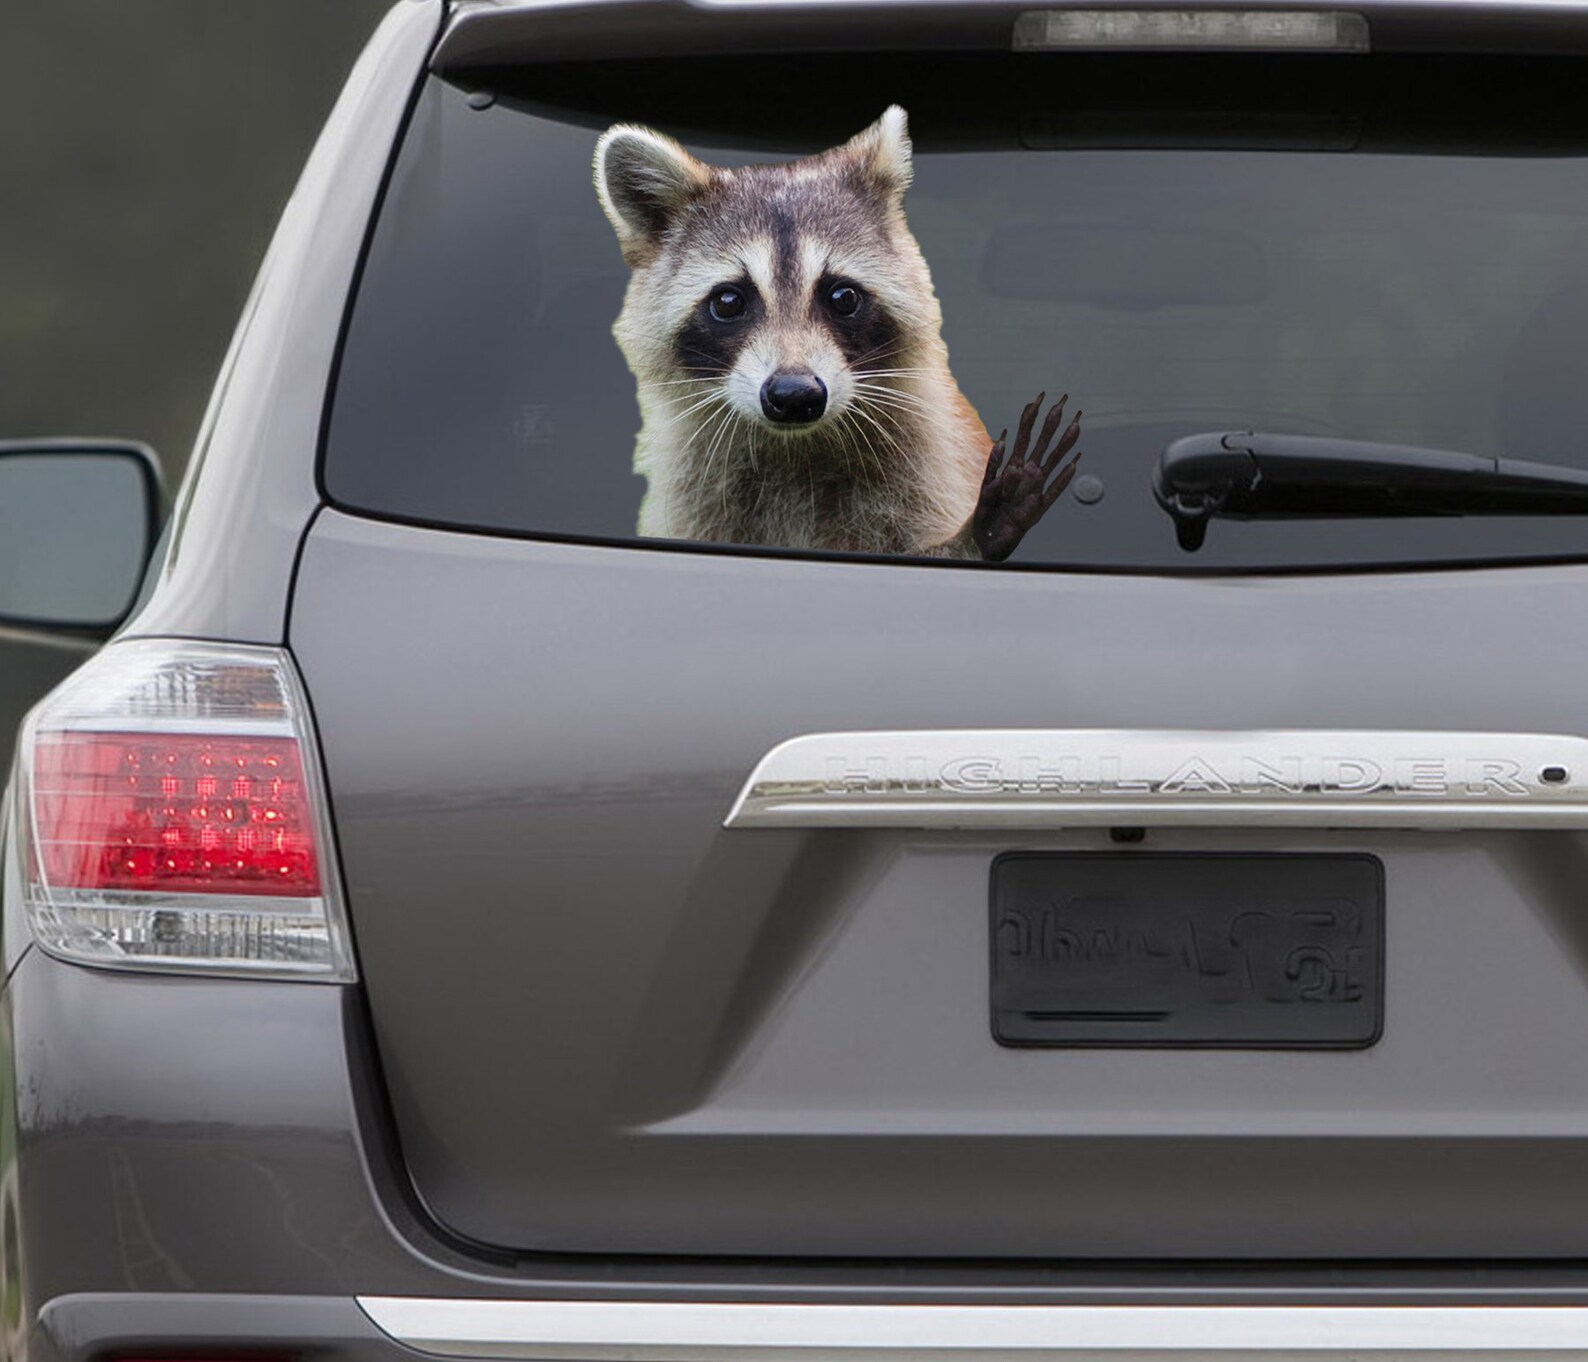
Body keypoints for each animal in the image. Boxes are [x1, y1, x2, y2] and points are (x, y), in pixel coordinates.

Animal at [593, 106, 1081, 560]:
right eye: (729, 302)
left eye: (842, 297)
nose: (794, 395)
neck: (794, 448)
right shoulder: (695, 497)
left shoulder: (926, 473)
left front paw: (975, 537)